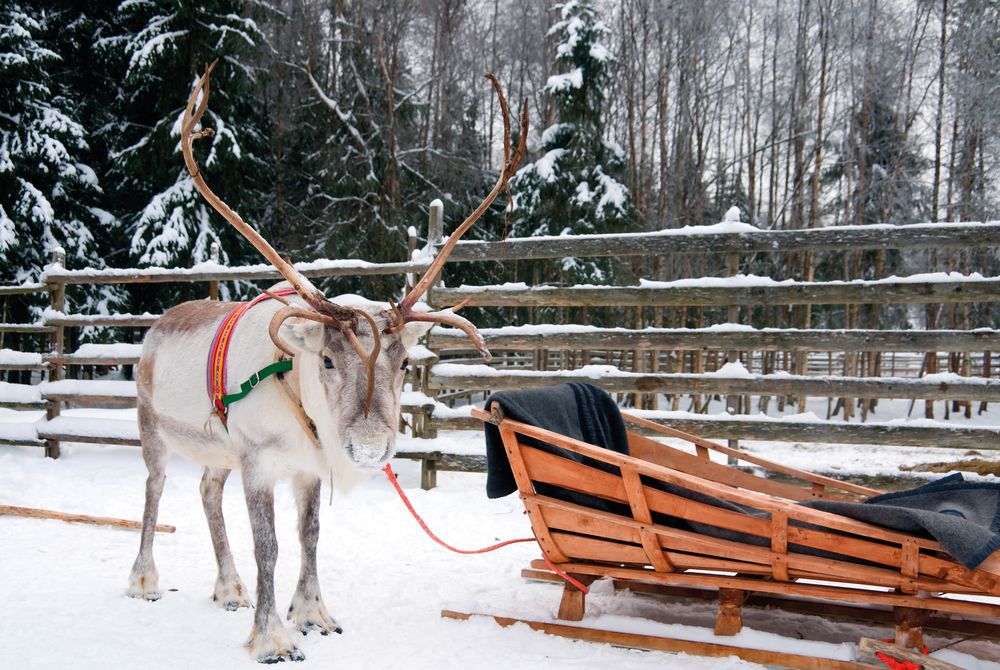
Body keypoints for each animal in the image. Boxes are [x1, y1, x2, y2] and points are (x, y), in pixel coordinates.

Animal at [127, 61, 527, 663]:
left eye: (404, 364)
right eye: (329, 361)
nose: (370, 447)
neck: (298, 398)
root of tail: (156, 326)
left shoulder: (307, 466)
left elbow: (309, 536)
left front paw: (313, 615)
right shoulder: (258, 459)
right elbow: (268, 545)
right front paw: (271, 637)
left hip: (218, 450)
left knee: (206, 490)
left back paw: (229, 588)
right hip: (152, 427)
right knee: (153, 490)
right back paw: (145, 580)